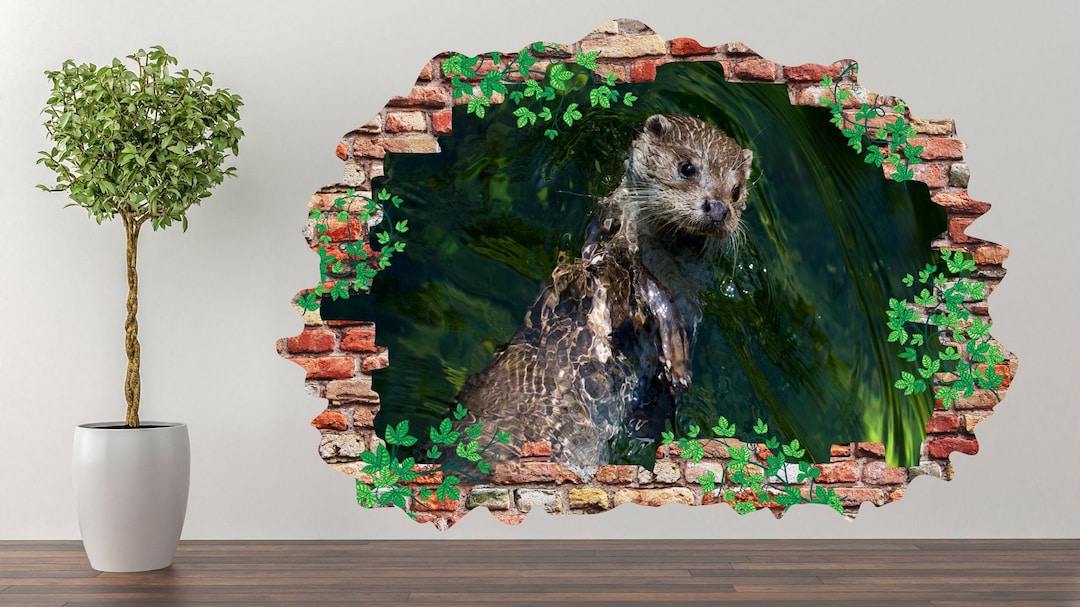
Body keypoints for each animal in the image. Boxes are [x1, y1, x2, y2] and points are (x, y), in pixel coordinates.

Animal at [456, 114, 753, 477]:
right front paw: (676, 354)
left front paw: (648, 425)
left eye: (737, 191)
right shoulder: (611, 261)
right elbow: (647, 296)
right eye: (687, 167)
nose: (719, 208)